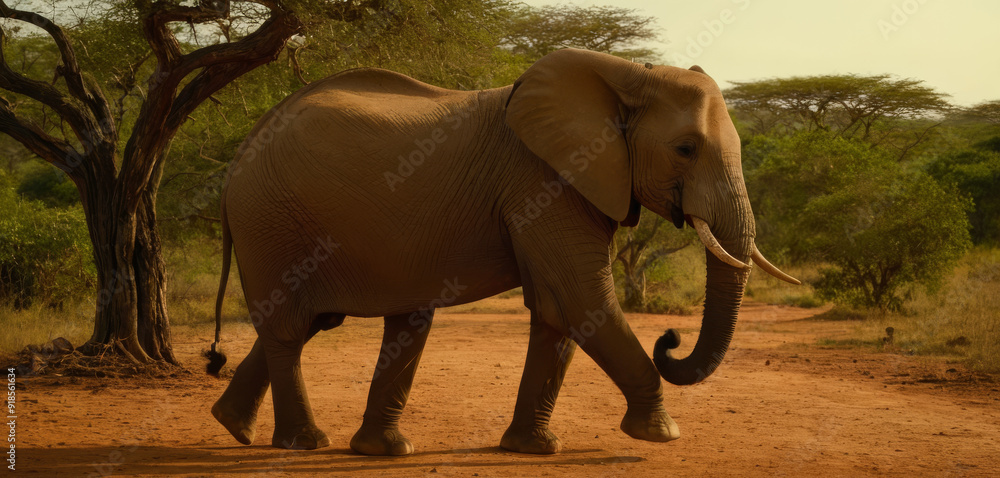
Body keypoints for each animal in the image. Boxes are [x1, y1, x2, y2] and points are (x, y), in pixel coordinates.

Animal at [208, 48, 798, 455]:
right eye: (685, 149)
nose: (669, 340)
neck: (626, 73)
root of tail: (243, 148)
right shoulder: (542, 180)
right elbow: (581, 299)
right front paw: (661, 435)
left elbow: (559, 311)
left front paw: (534, 449)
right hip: (271, 222)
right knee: (290, 328)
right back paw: (304, 444)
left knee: (329, 321)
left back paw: (258, 430)